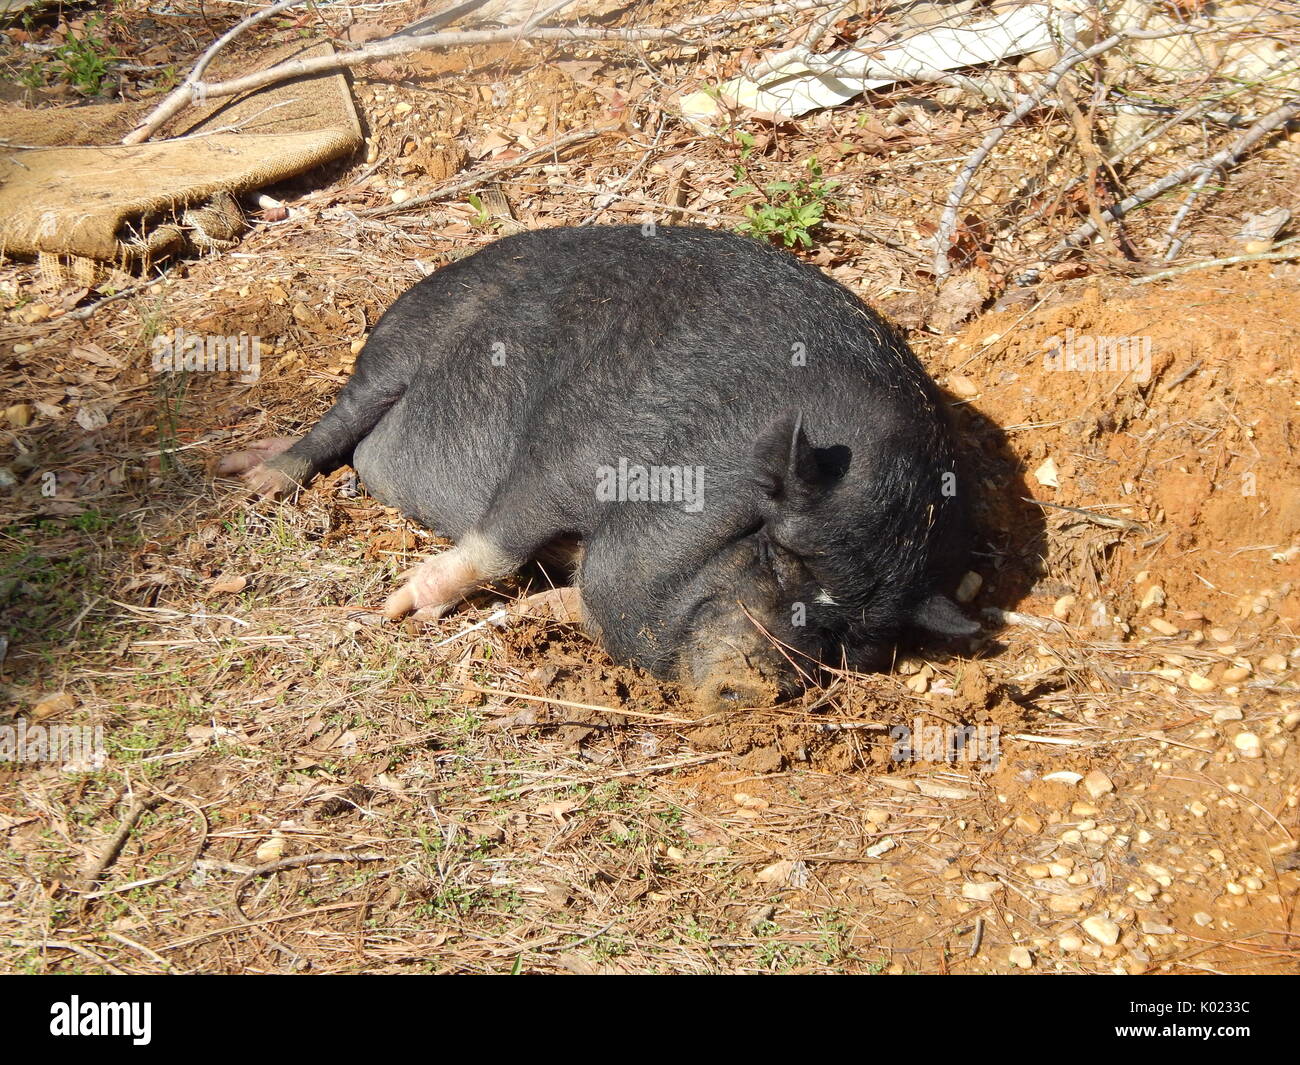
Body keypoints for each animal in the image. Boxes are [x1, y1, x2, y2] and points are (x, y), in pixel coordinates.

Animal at [217, 225, 976, 708]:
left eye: (845, 637)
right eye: (777, 555)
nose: (762, 684)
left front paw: (510, 617)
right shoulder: (565, 456)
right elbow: (498, 542)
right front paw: (399, 610)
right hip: (402, 340)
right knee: (337, 419)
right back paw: (249, 478)